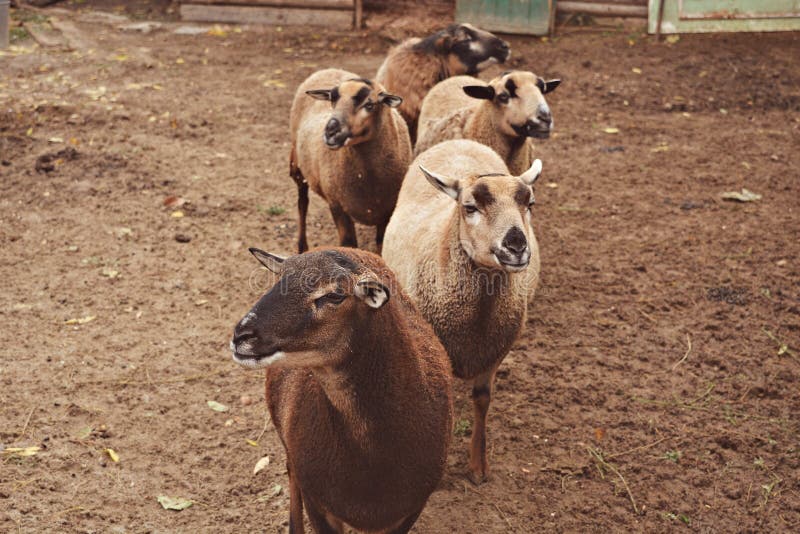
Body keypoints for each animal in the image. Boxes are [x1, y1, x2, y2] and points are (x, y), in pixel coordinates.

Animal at [290, 69, 412, 254]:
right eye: (332, 99)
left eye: (370, 105)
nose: (330, 131)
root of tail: (326, 69)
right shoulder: (338, 207)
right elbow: (349, 244)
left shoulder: (388, 210)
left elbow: (381, 245)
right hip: (297, 167)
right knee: (302, 204)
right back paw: (302, 246)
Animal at [382, 139, 542, 485]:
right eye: (470, 207)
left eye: (530, 203)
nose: (516, 245)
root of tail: (459, 141)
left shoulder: (495, 351)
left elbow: (482, 399)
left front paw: (478, 467)